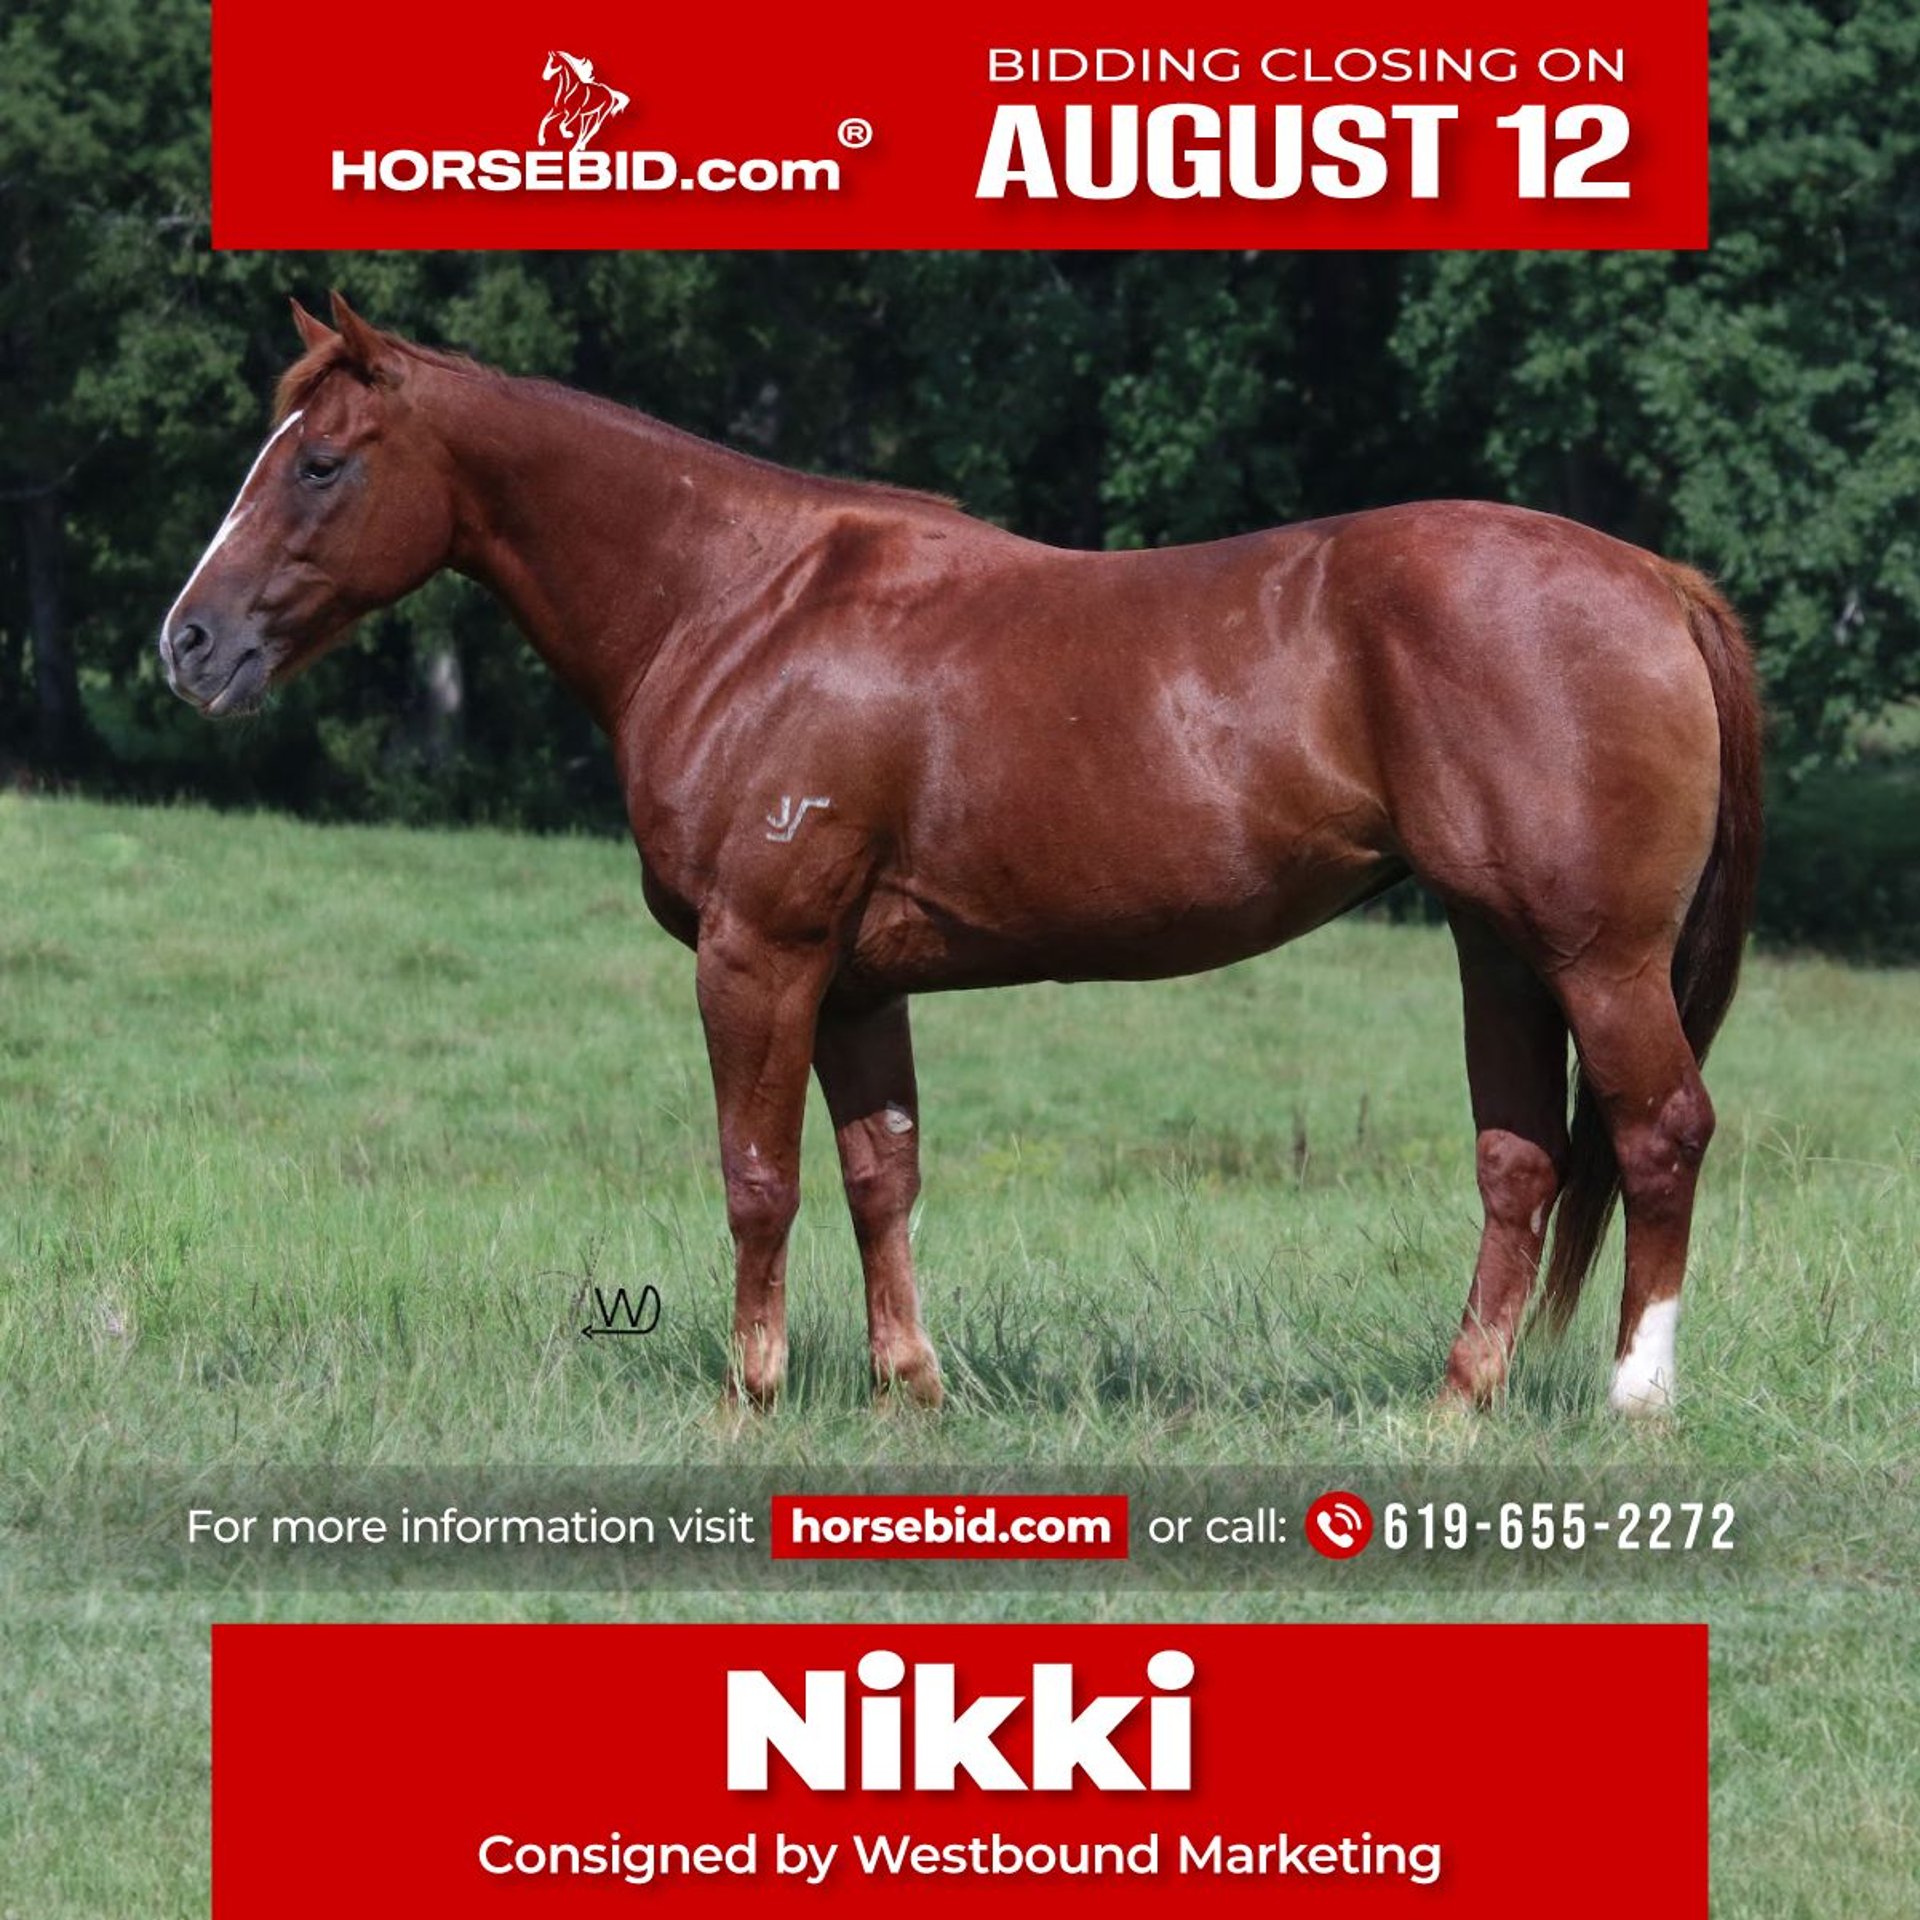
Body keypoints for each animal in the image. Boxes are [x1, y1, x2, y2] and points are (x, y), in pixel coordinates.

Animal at [159, 295, 1762, 1418]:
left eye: (319, 464)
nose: (189, 643)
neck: (739, 603)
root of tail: (1655, 578)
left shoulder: (762, 956)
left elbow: (759, 1176)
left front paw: (751, 1396)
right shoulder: (861, 983)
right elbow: (883, 1176)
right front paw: (909, 1391)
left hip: (1596, 957)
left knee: (1661, 1135)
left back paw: (1638, 1399)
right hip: (1502, 949)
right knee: (1522, 1160)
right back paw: (1454, 1403)